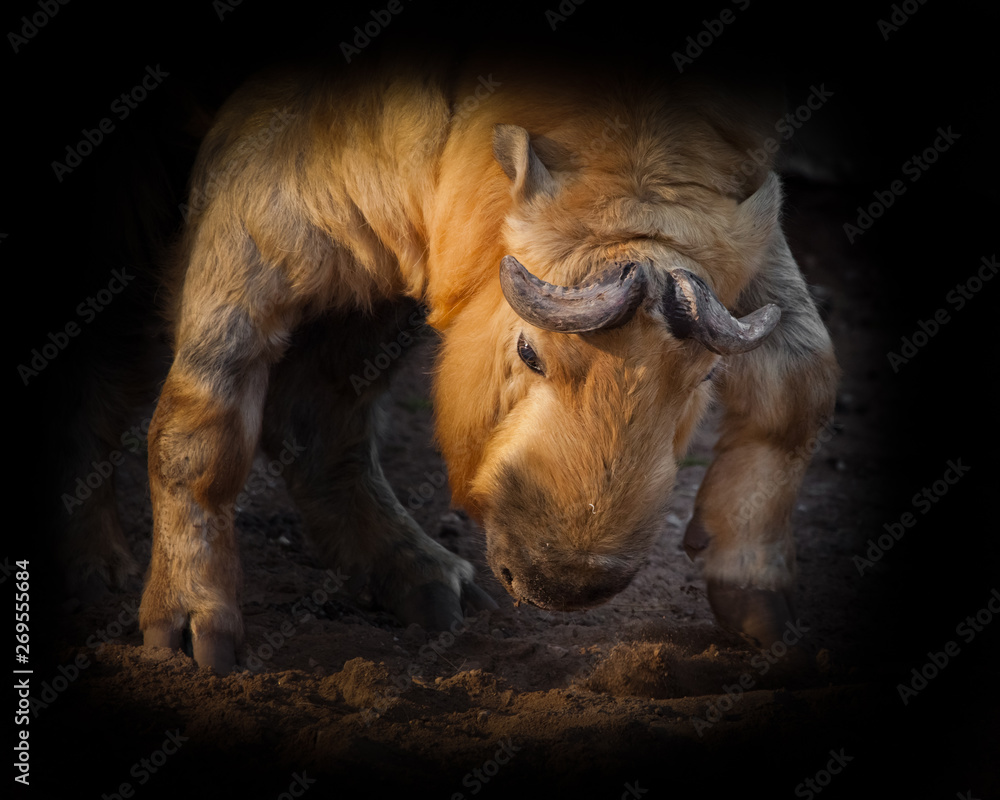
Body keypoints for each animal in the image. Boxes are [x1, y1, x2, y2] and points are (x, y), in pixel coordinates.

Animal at [101, 52, 837, 673]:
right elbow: (203, 429)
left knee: (317, 415)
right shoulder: (259, 213)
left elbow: (805, 382)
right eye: (528, 351)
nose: (564, 585)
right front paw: (191, 625)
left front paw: (757, 598)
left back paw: (422, 578)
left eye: (705, 377)